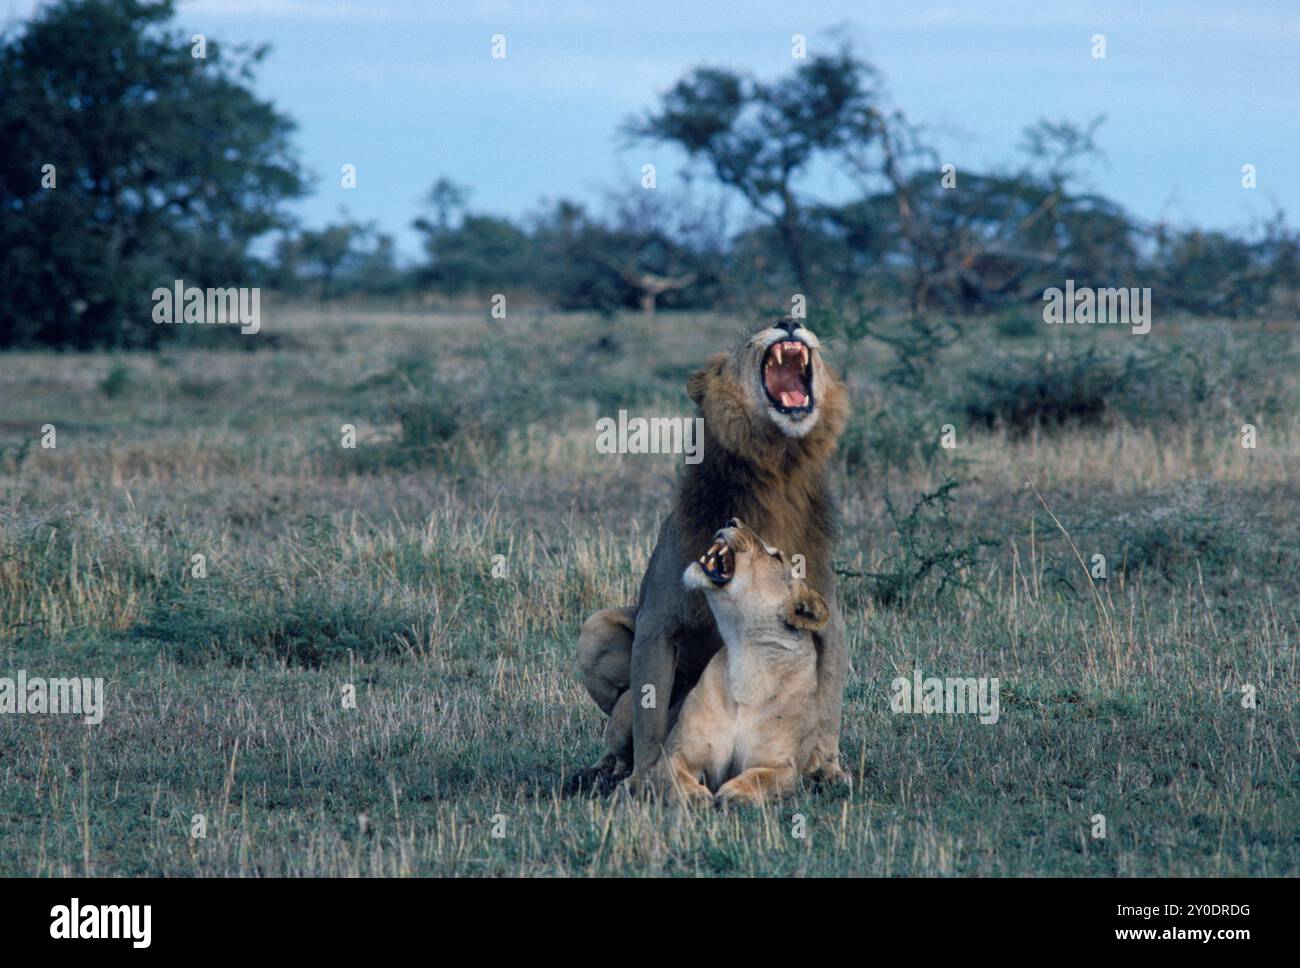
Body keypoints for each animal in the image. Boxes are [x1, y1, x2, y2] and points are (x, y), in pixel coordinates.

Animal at [625, 518, 831, 806]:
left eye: (776, 556)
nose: (732, 521)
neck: (746, 655)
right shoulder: (677, 754)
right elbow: (675, 777)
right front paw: (695, 796)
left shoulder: (782, 766)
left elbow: (761, 778)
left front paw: (736, 793)